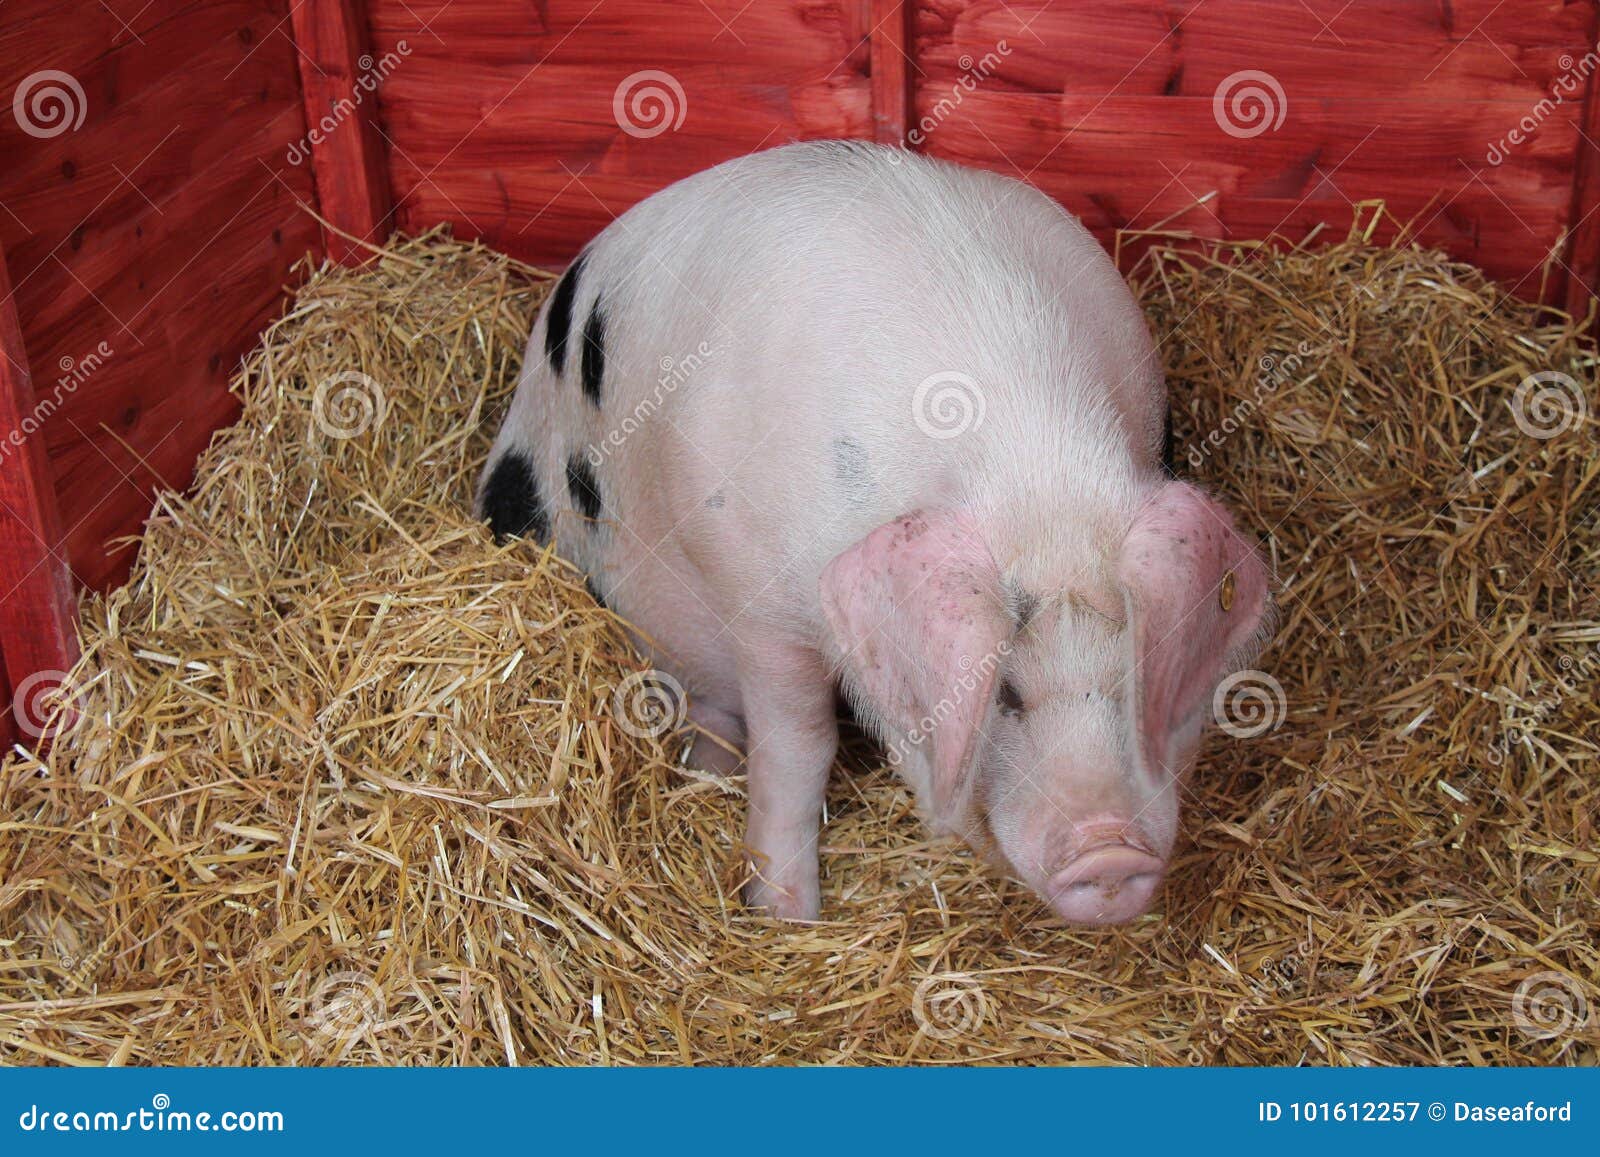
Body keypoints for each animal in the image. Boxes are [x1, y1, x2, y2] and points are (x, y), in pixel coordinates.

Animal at [477, 140, 1274, 924]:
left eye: (1139, 676)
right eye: (1005, 693)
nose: (1109, 852)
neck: (1032, 467)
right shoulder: (756, 597)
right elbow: (799, 747)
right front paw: (784, 918)